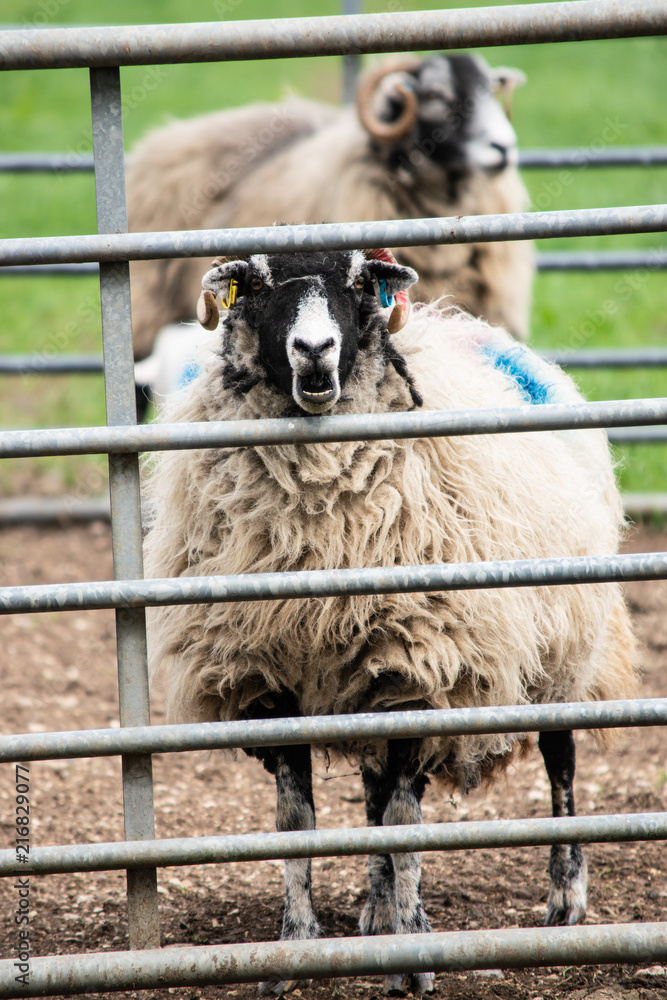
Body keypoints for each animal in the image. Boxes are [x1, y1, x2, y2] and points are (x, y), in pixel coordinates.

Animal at [143, 248, 637, 997]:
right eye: (255, 285)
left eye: (357, 284)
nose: (314, 349)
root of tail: (468, 328)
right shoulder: (276, 682)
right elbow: (298, 823)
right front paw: (295, 947)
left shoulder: (419, 672)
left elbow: (405, 820)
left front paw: (413, 955)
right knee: (373, 794)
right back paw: (376, 911)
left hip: (562, 649)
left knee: (559, 764)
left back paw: (563, 899)